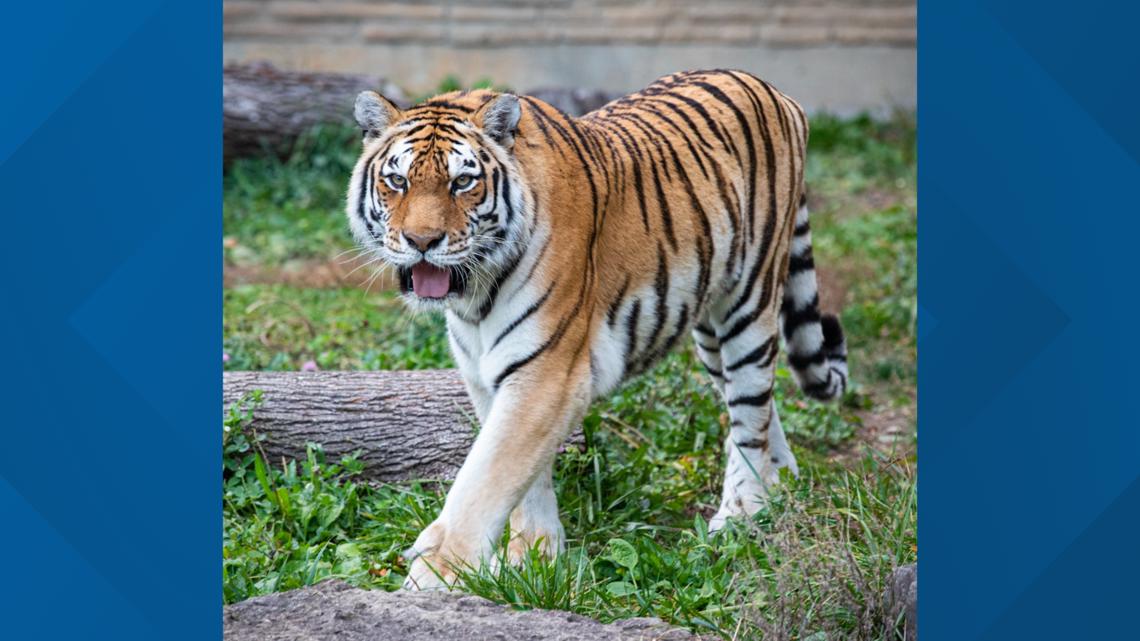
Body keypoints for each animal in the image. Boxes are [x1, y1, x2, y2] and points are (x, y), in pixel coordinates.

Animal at [346, 69, 848, 591]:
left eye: (462, 182)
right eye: (398, 181)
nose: (421, 242)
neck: (475, 292)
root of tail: (769, 86)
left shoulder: (548, 369)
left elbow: (487, 475)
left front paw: (439, 572)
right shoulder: (486, 375)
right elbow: (524, 475)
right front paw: (533, 557)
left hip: (748, 301)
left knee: (750, 413)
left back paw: (742, 513)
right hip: (708, 327)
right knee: (759, 404)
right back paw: (781, 481)